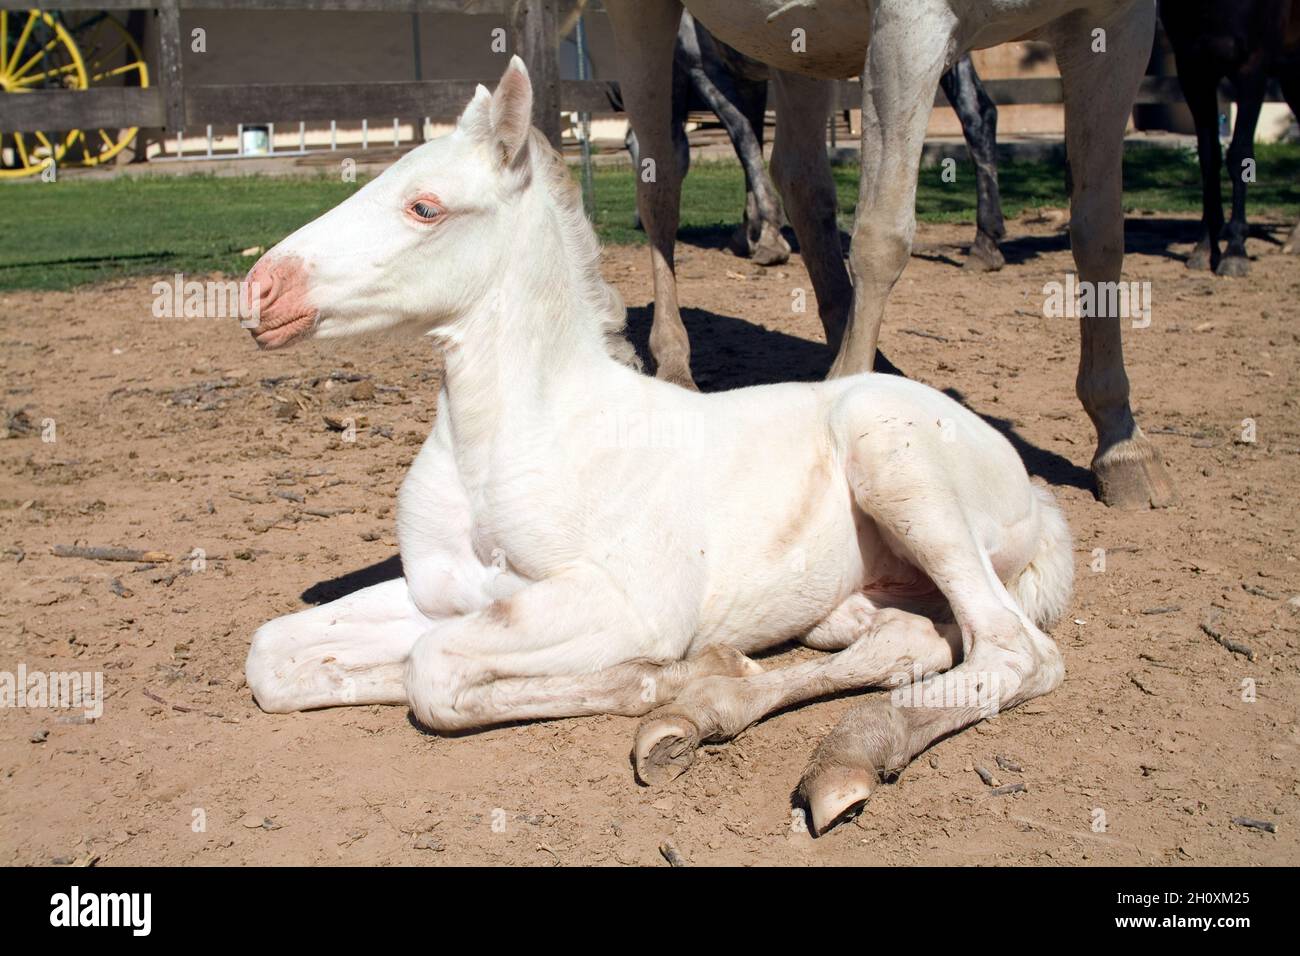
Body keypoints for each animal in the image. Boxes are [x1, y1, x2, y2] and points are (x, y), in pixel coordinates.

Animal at [242, 60, 1074, 835]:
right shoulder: (442, 592)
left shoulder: (629, 602)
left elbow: (434, 672)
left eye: (425, 207)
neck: (512, 439)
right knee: (913, 642)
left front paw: (661, 678)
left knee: (1017, 650)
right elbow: (275, 656)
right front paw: (686, 680)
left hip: (898, 467)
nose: (259, 290)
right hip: (851, 605)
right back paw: (725, 718)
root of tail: (1033, 494)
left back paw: (832, 754)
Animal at [605, 0, 1177, 510]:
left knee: (799, 176)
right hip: (643, 18)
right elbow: (882, 237)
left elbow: (1099, 235)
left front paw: (1122, 444)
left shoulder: (1115, 27)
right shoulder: (910, 22)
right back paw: (672, 362)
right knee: (660, 176)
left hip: (796, 42)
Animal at [1161, 0, 1300, 276]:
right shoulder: (1193, 71)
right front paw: (1205, 248)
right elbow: (1208, 157)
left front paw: (1235, 251)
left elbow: (1239, 156)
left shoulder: (1252, 69)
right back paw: (1295, 239)